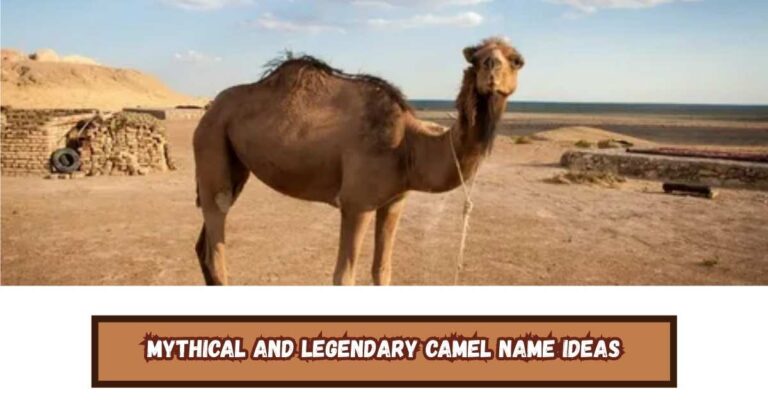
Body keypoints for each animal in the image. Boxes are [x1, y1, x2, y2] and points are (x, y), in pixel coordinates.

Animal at [193, 37, 524, 285]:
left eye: (516, 60)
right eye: (476, 58)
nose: (491, 68)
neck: (410, 145)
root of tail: (211, 108)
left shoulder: (395, 201)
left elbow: (382, 271)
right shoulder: (357, 203)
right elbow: (344, 277)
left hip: (234, 163)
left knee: (204, 242)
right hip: (211, 139)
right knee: (216, 232)